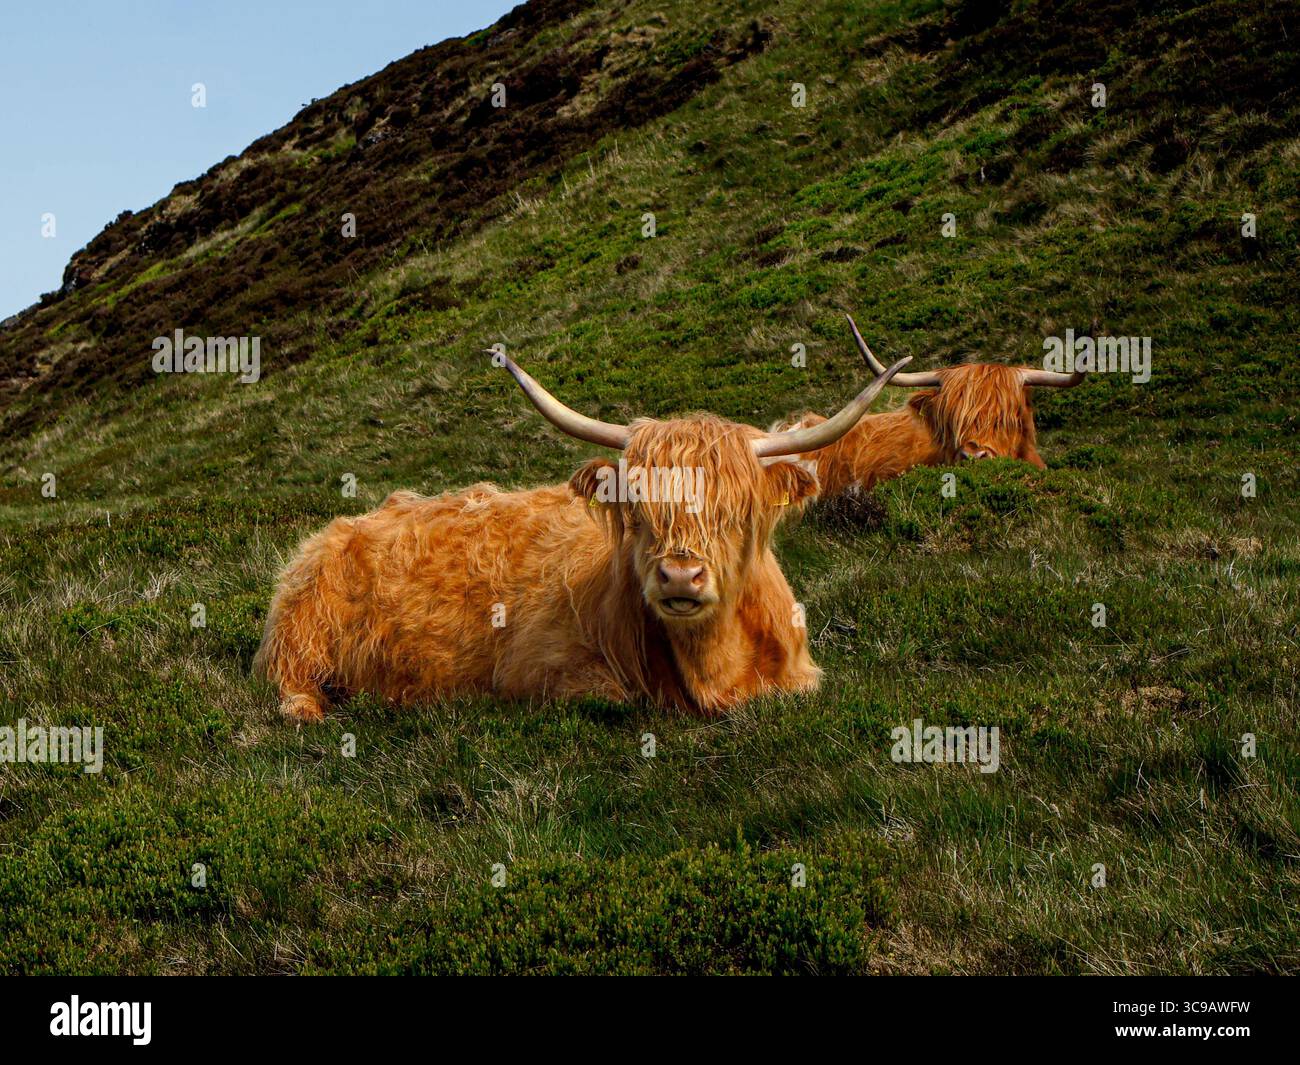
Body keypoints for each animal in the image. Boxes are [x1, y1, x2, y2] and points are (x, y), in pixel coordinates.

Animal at [254, 351, 912, 720]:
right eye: (639, 509)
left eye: (732, 510)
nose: (679, 575)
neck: (714, 670)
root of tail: (342, 527)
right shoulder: (539, 670)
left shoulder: (801, 677)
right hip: (300, 638)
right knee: (291, 690)